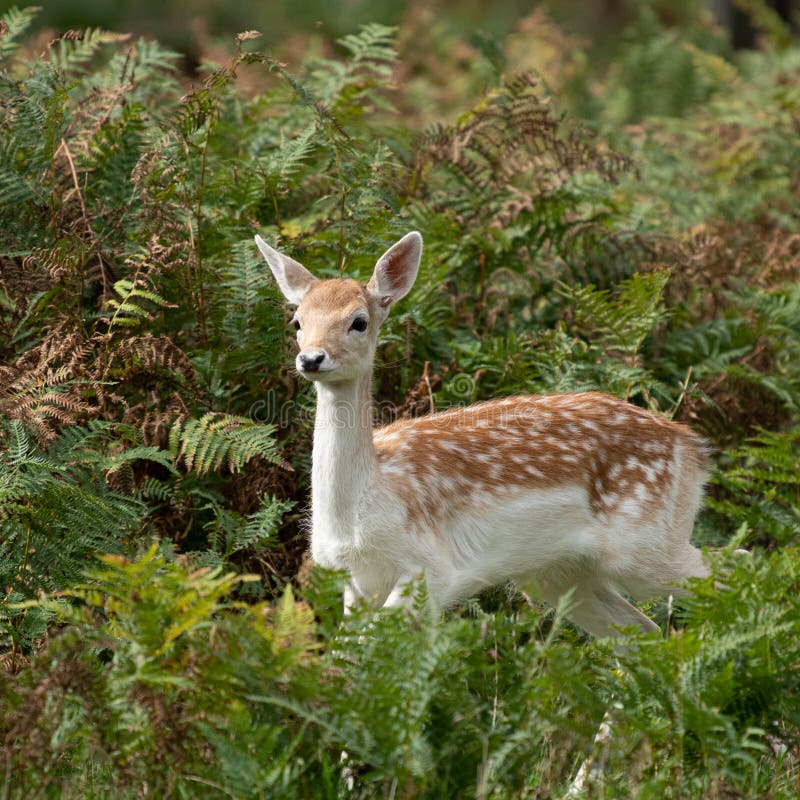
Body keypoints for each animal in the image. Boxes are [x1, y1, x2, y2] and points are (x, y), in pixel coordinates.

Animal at [254, 230, 711, 640]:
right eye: (297, 321)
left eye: (359, 322)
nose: (312, 358)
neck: (365, 506)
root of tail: (693, 448)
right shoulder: (357, 579)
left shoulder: (432, 566)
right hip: (558, 572)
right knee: (641, 630)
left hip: (645, 542)